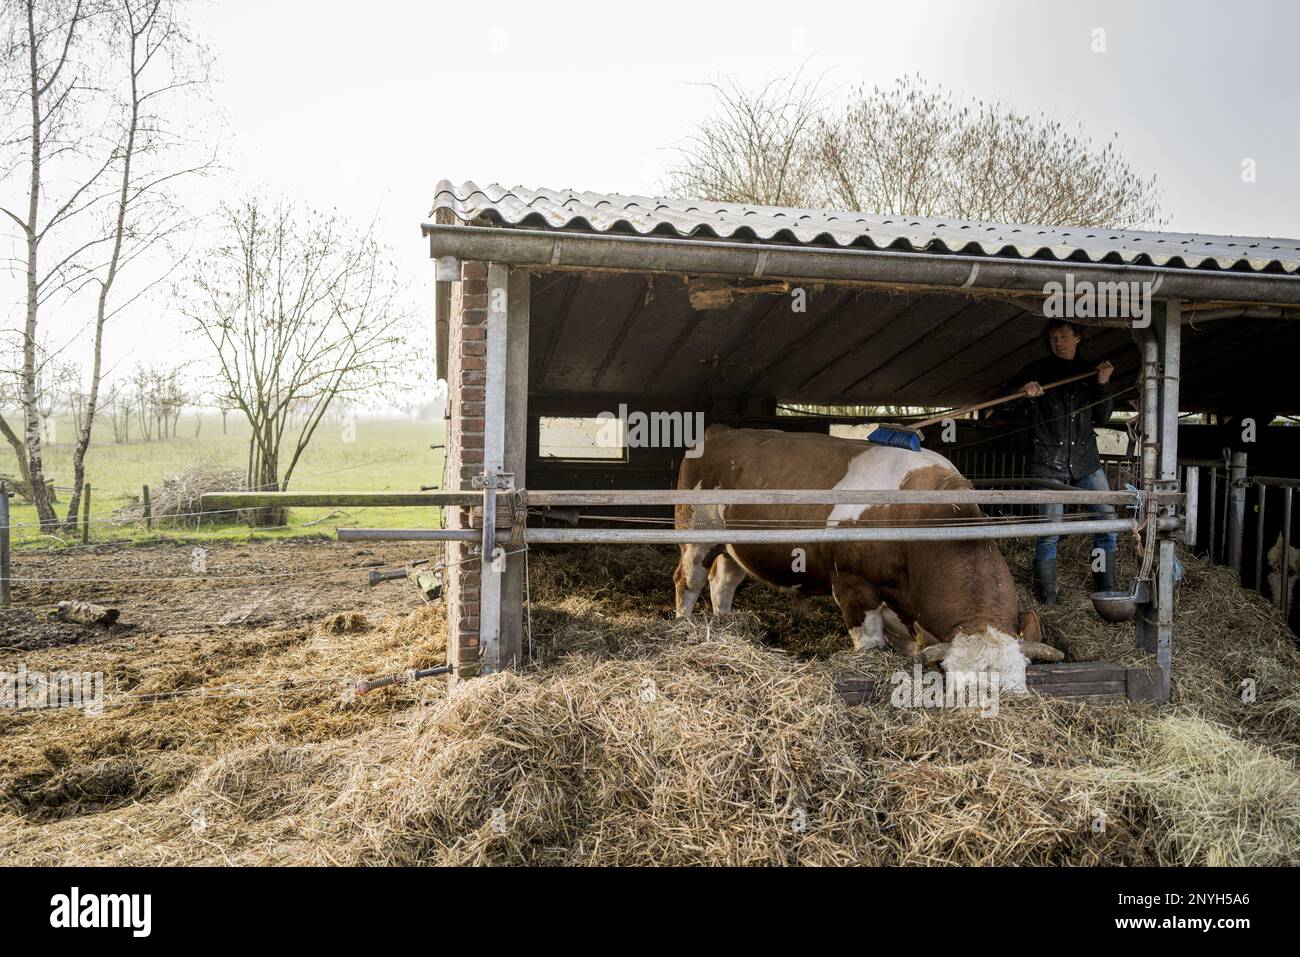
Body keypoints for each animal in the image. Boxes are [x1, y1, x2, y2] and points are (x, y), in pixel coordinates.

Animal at [673, 425, 1062, 692]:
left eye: (1018, 693)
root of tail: (720, 430)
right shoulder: (853, 585)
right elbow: (871, 643)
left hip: (734, 546)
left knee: (722, 582)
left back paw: (725, 627)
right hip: (695, 531)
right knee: (688, 580)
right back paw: (684, 627)